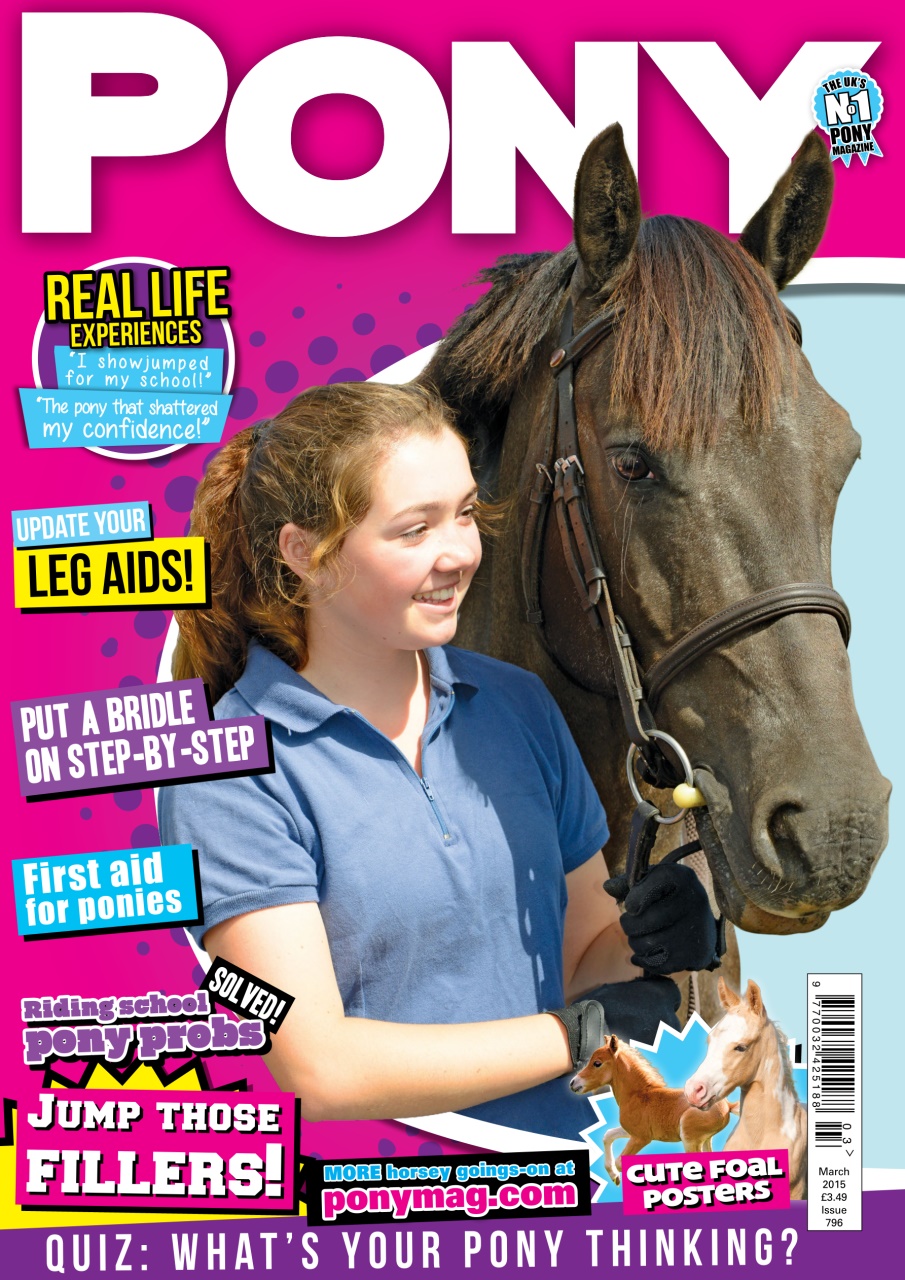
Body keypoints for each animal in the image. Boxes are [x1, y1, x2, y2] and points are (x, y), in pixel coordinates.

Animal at [570, 1034, 737, 1186]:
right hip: (705, 1140)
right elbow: (608, 1135)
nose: (573, 1083)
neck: (637, 1095)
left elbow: (620, 1162)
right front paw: (614, 1176)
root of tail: (727, 1106)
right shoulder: (632, 1131)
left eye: (597, 1063)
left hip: (690, 1139)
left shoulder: (641, 1138)